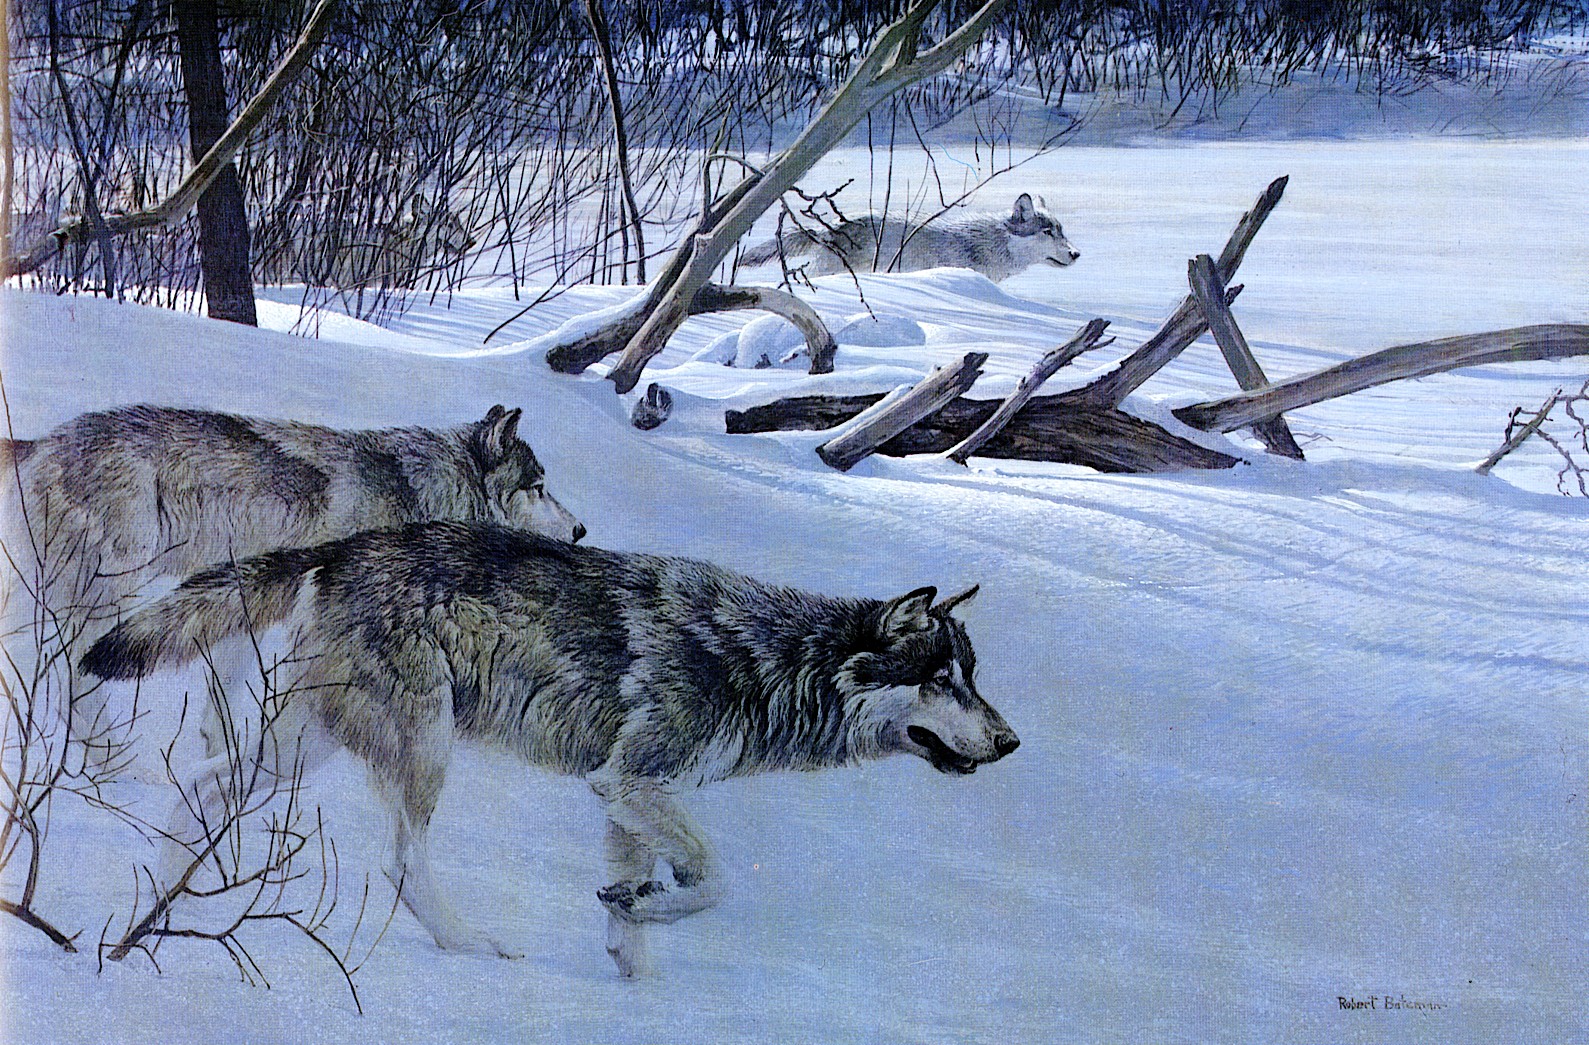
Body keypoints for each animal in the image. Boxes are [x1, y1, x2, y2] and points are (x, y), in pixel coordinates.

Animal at [0, 404, 582, 760]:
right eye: (538, 487)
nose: (580, 530)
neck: (420, 490)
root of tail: (41, 441)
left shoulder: (241, 600)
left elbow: (221, 699)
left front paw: (219, 757)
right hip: (106, 591)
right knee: (72, 675)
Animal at [80, 521, 1018, 974]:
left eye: (972, 676)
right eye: (941, 679)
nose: (1011, 742)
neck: (765, 660)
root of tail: (344, 545)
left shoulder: (626, 796)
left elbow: (640, 913)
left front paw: (633, 961)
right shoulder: (629, 782)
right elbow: (712, 882)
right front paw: (645, 908)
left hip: (299, 753)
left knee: (200, 783)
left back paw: (149, 905)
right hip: (423, 748)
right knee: (400, 862)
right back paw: (472, 947)